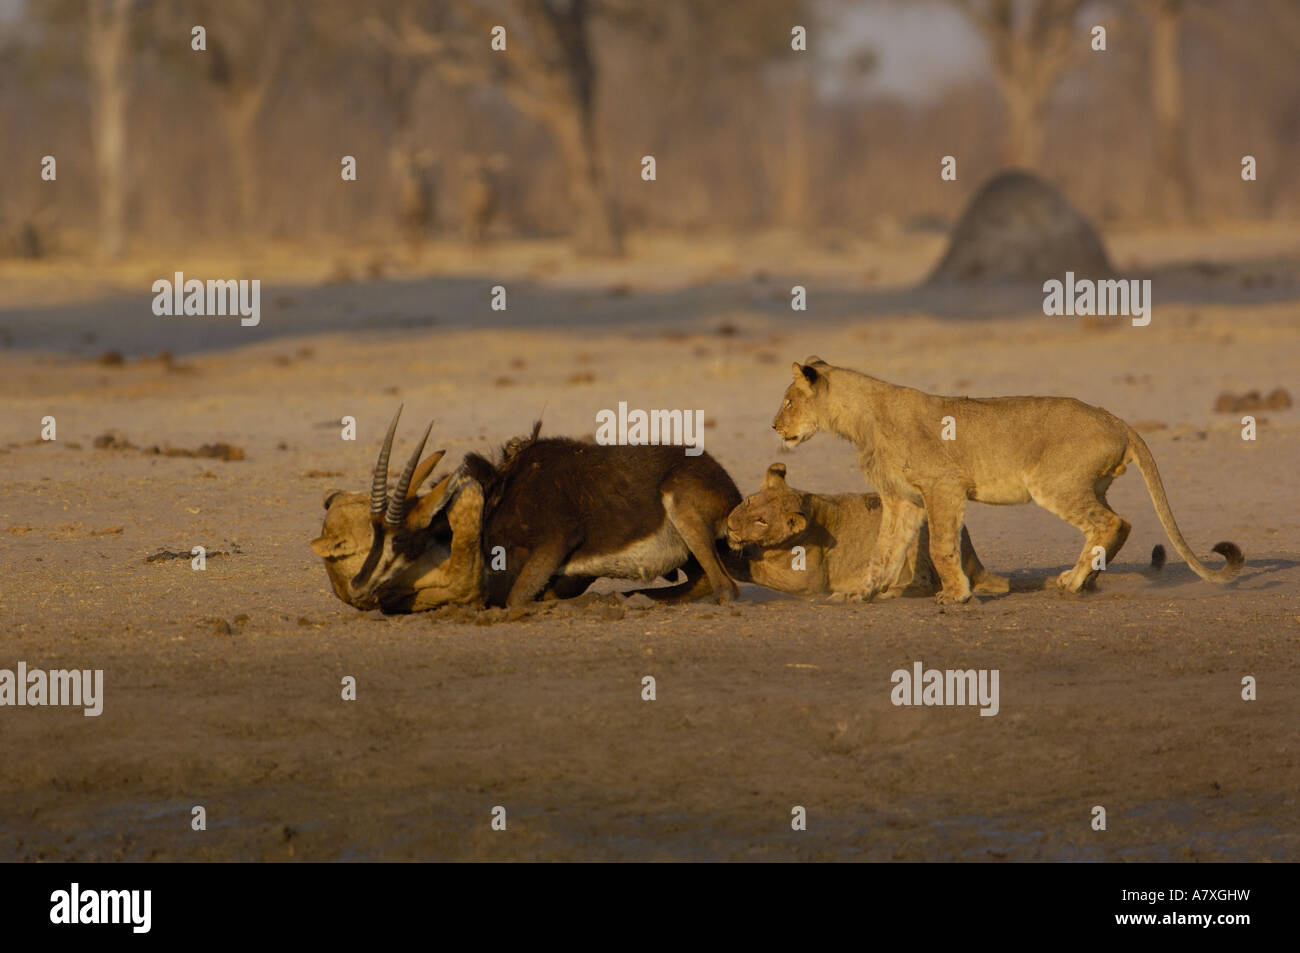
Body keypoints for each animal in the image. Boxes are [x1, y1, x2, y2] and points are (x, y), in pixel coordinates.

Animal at [723, 462, 1010, 597]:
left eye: (761, 521)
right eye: (748, 502)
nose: (730, 525)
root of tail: (972, 554)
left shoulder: (807, 579)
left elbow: (758, 570)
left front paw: (728, 556)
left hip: (919, 530)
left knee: (924, 582)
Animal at [771, 358, 1242, 603]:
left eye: (789, 401)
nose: (775, 426)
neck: (859, 421)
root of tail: (1116, 418)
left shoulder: (944, 485)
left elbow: (941, 547)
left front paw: (956, 595)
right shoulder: (901, 499)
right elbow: (884, 551)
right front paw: (863, 592)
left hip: (1052, 483)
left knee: (1113, 523)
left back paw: (1074, 581)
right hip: (1089, 485)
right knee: (1115, 525)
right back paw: (1082, 580)